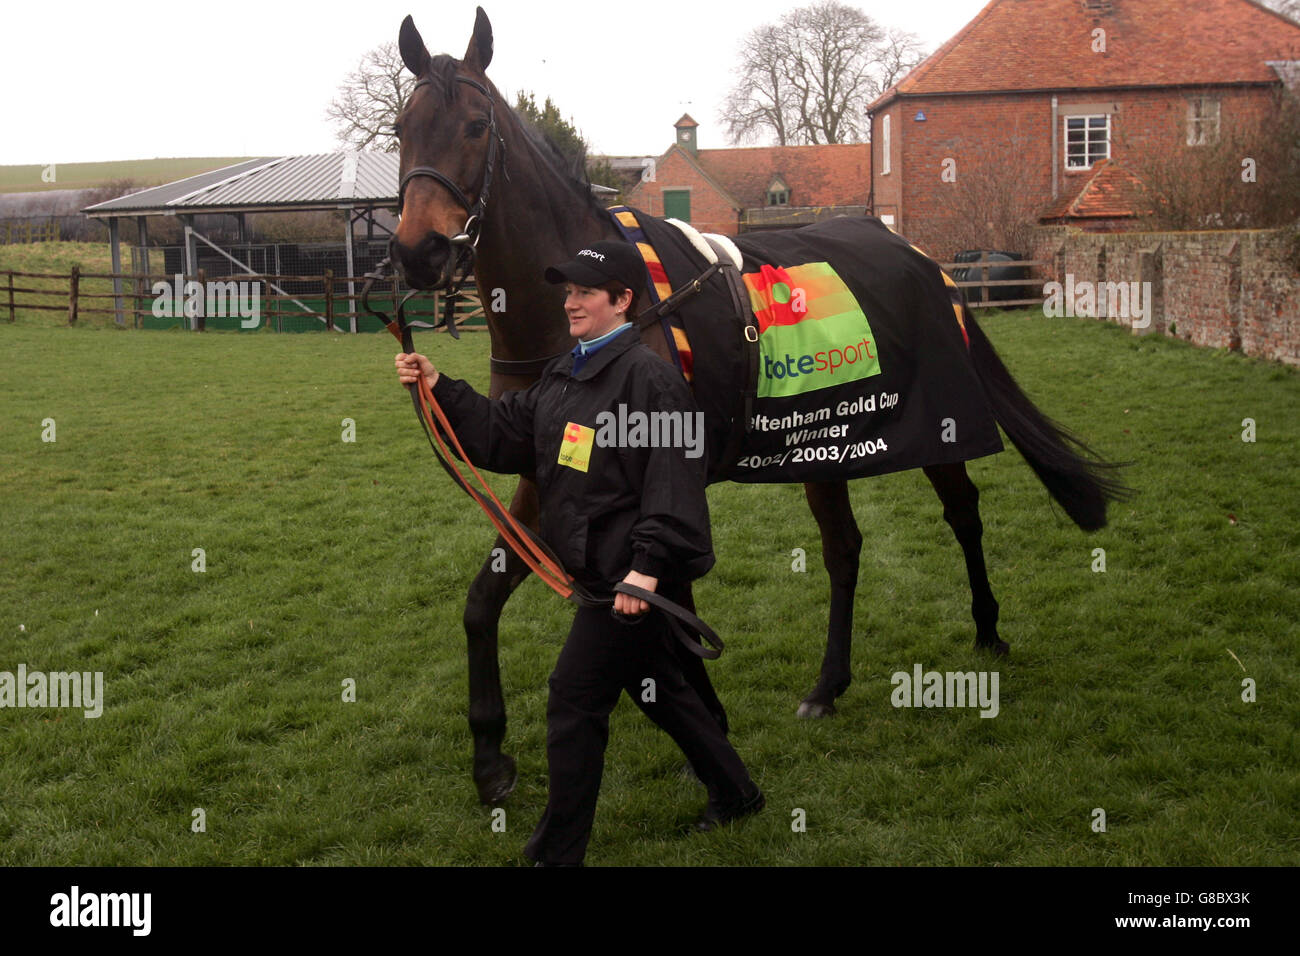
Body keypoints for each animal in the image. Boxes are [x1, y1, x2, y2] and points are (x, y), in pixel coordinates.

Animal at [387, 7, 1128, 805]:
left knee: (963, 513)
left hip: (936, 429)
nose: (419, 251)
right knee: (844, 550)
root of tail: (926, 262)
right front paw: (490, 754)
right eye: (401, 127)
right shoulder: (545, 471)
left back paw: (987, 628)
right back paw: (829, 684)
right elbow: (484, 600)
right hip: (824, 446)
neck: (595, 320)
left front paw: (703, 731)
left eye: (474, 126)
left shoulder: (657, 476)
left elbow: (664, 597)